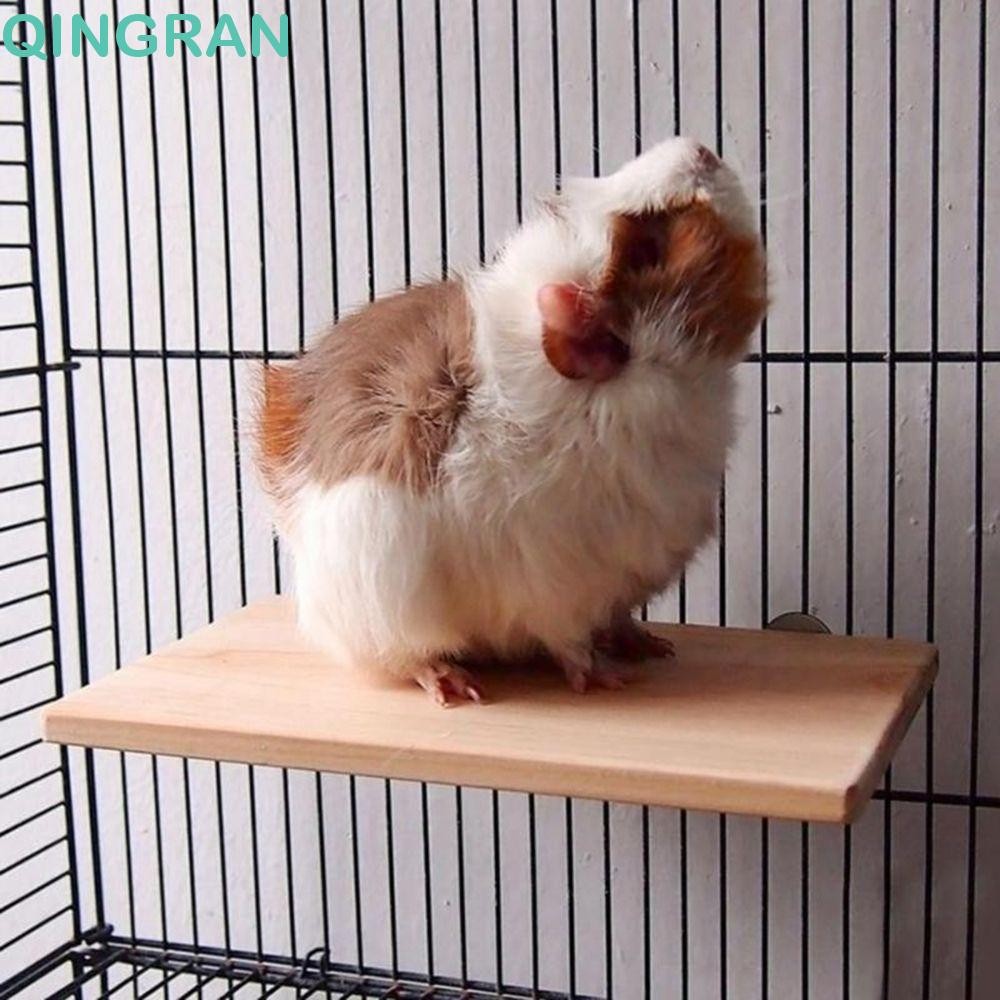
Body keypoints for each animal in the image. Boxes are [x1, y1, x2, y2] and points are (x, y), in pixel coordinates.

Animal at [256, 137, 766, 705]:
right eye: (652, 244)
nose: (700, 148)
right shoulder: (558, 591)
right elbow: (571, 644)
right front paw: (605, 680)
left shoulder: (618, 581)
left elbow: (617, 618)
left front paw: (652, 647)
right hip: (384, 604)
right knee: (403, 656)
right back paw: (454, 687)